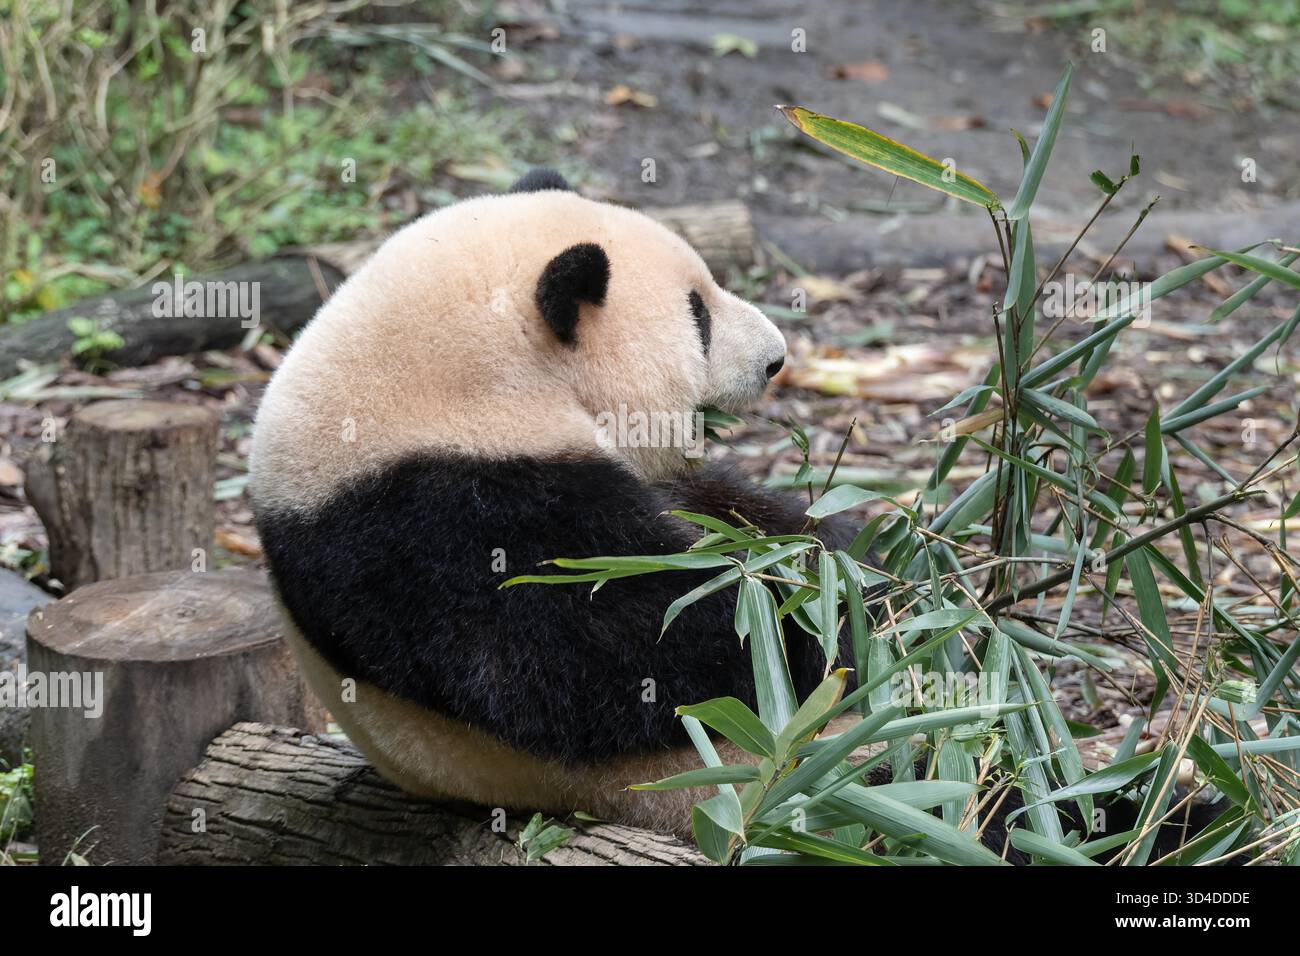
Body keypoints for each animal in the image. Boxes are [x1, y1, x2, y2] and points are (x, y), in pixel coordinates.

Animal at [249, 168, 858, 836]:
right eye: (698, 315)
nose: (776, 359)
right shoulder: (439, 519)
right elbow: (626, 649)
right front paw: (825, 617)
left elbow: (738, 515)